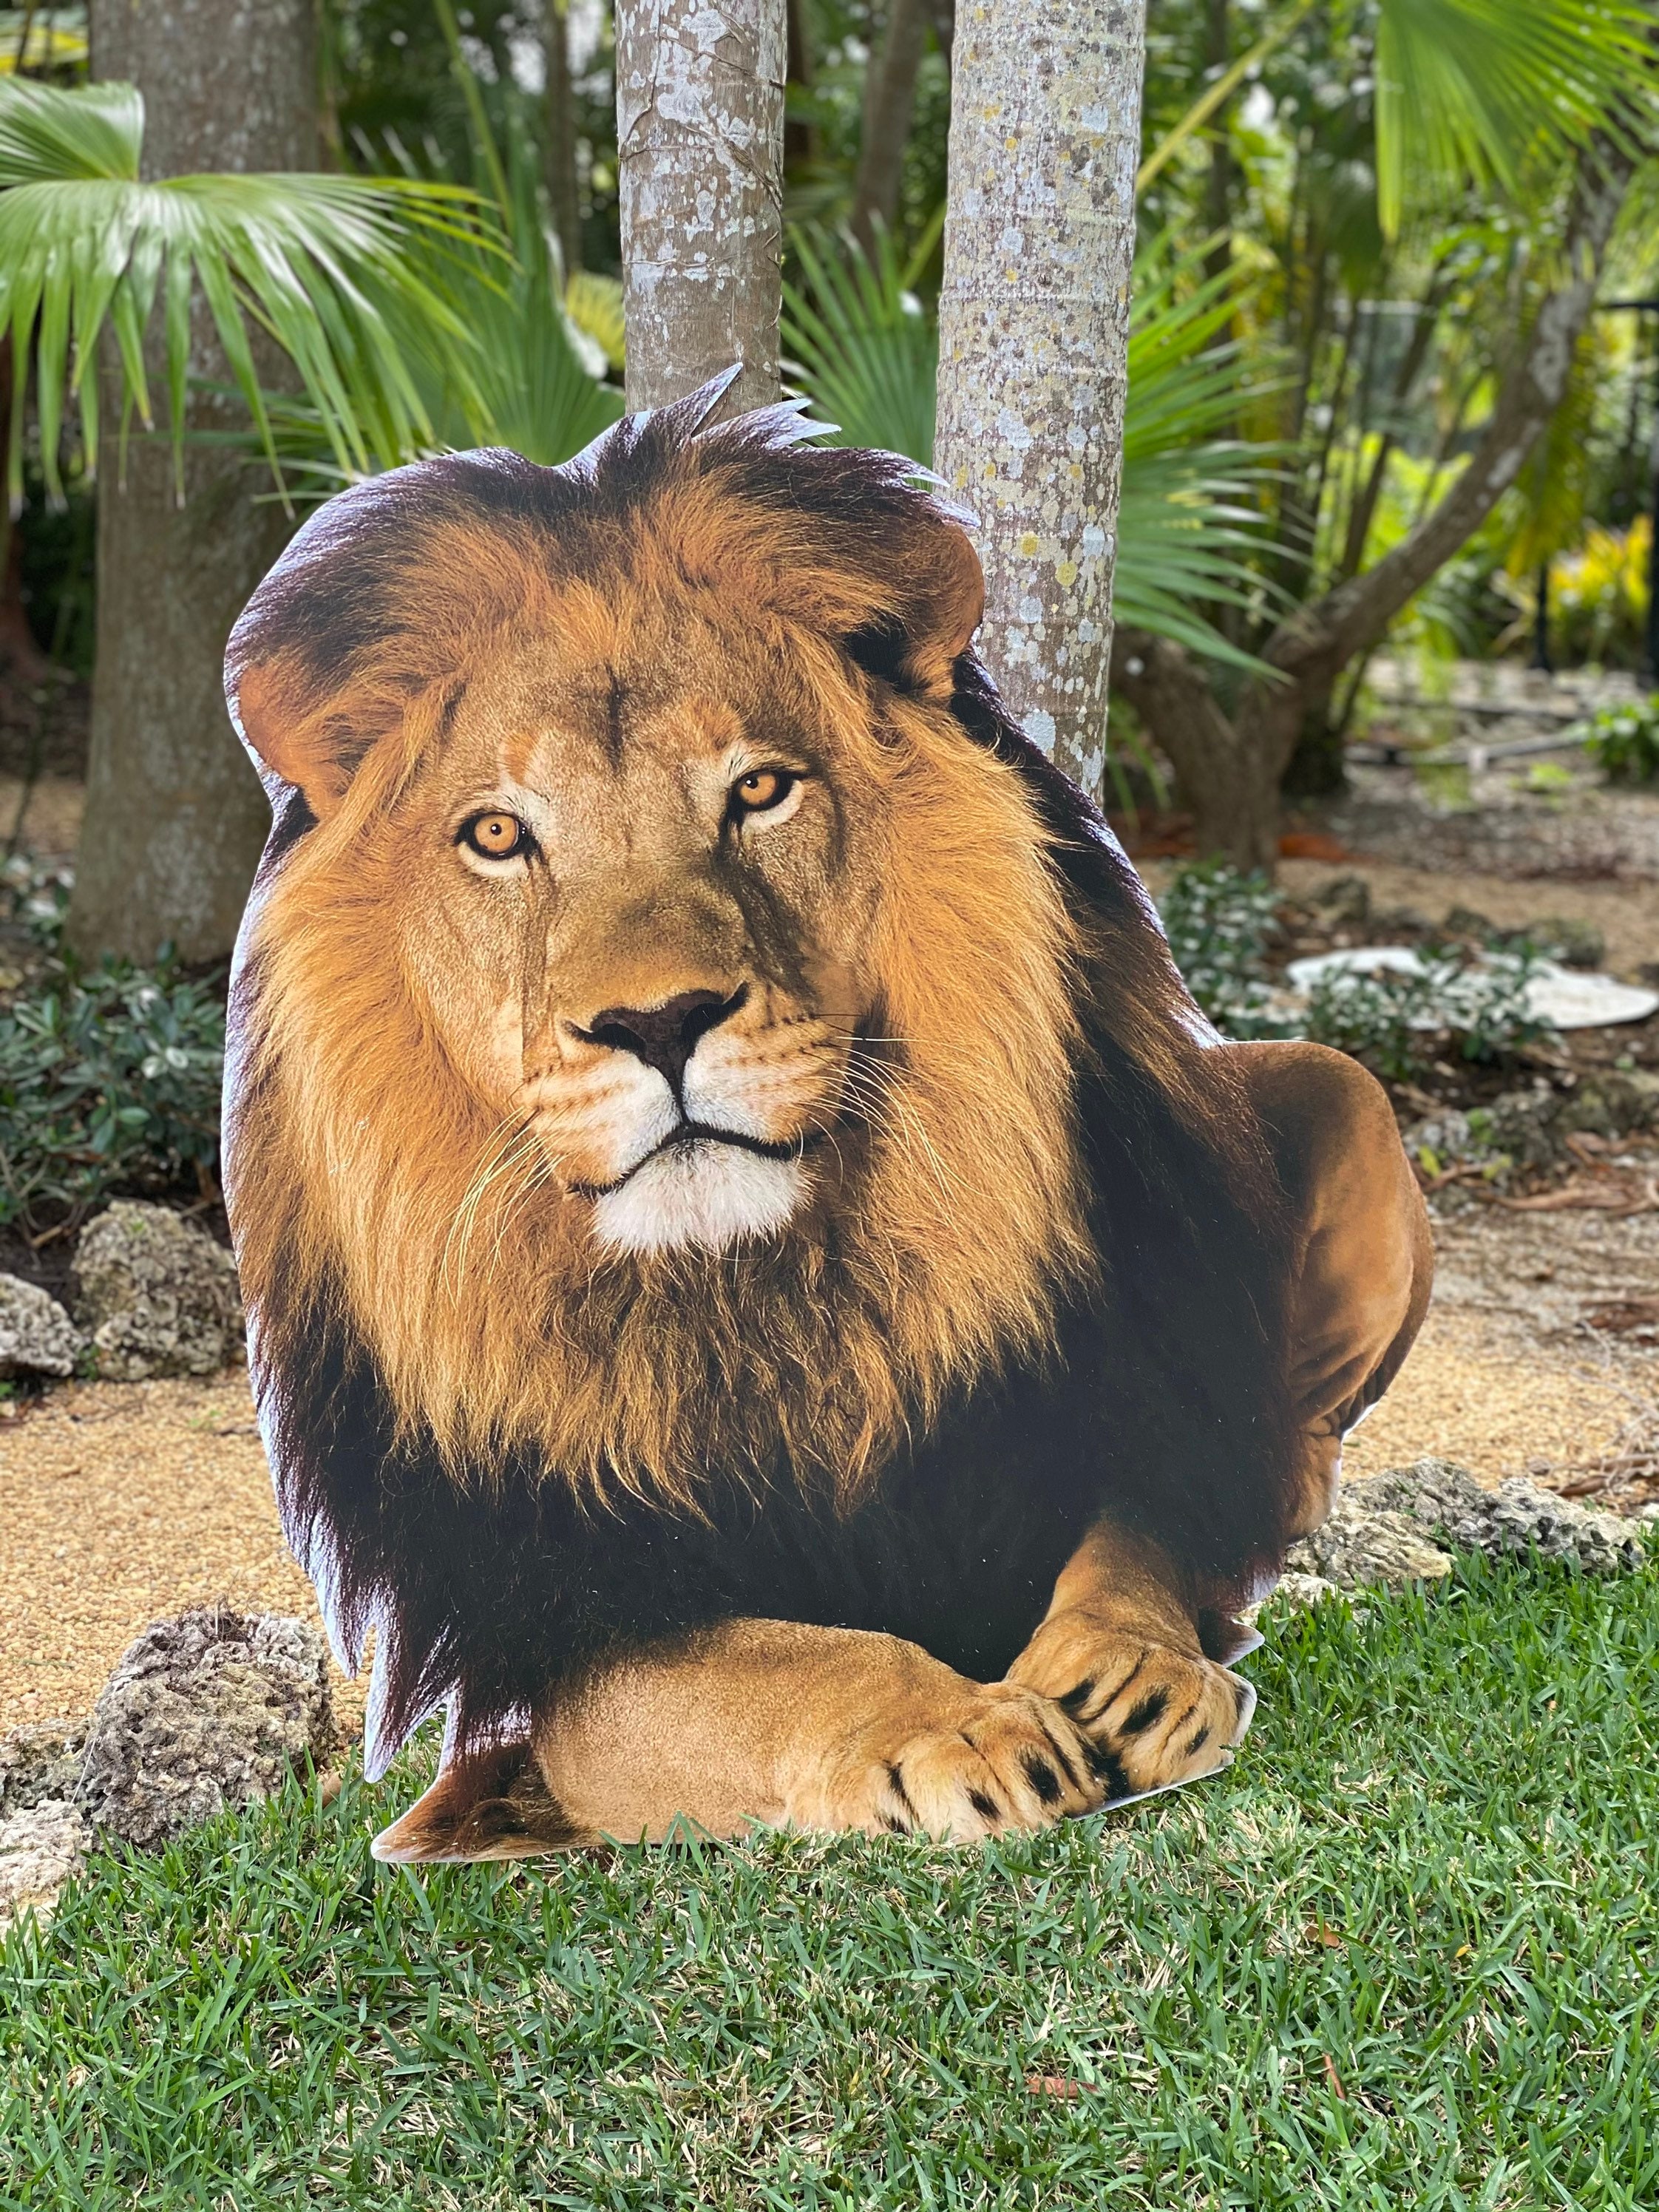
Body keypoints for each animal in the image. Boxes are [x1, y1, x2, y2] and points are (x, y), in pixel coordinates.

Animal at [223, 378, 1430, 1862]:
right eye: (498, 836)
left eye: (759, 789)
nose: (660, 1022)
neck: (761, 1295)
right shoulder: (570, 1634)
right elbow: (786, 1658)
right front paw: (957, 1728)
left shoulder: (1120, 1410)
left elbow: (1128, 1549)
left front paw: (1132, 1669)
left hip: (1337, 1086)